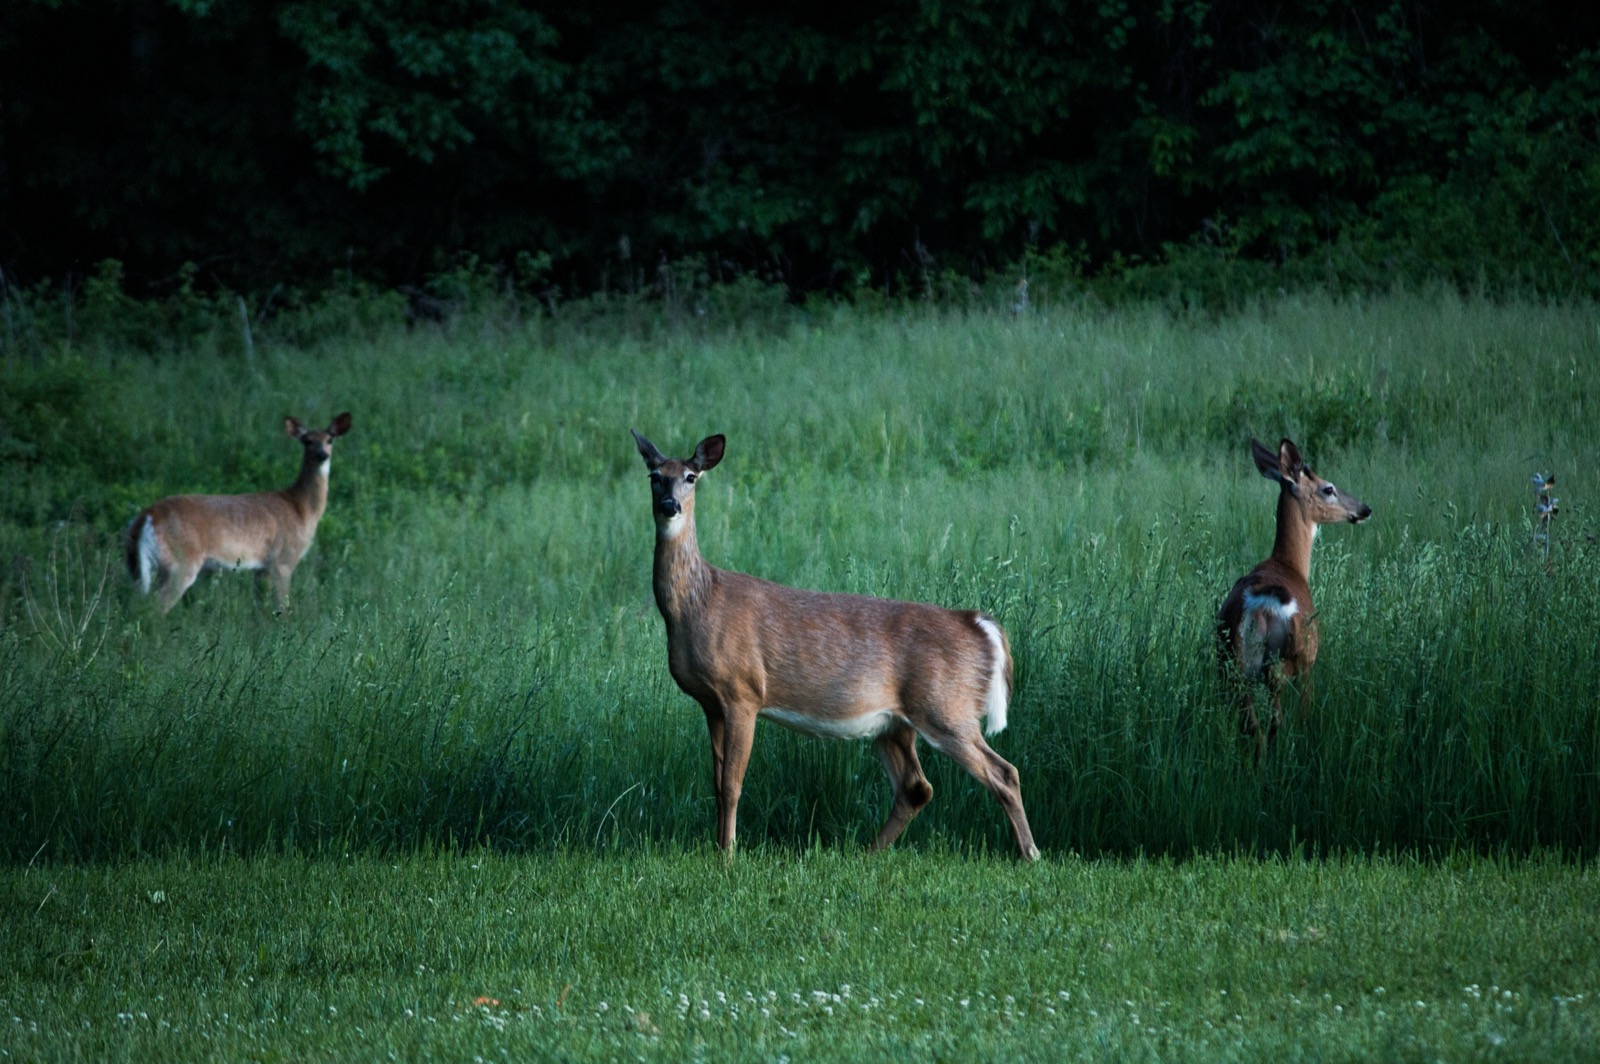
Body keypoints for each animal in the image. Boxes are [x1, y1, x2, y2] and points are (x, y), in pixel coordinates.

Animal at [126, 413, 352, 613]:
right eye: (307, 441)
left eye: (330, 439)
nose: (322, 455)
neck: (301, 507)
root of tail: (147, 515)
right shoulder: (283, 559)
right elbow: (282, 607)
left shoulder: (261, 567)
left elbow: (260, 609)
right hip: (181, 561)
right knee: (156, 606)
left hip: (140, 565)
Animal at [632, 430, 1039, 861]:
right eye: (654, 476)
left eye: (691, 476)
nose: (670, 505)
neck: (699, 602)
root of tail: (979, 624)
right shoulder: (711, 702)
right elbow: (716, 782)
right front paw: (718, 847)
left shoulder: (743, 691)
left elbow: (731, 784)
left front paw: (727, 855)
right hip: (895, 724)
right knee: (916, 787)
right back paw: (866, 851)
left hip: (947, 707)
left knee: (1004, 772)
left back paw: (1030, 854)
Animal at [1216, 437, 1371, 760]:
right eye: (1328, 488)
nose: (1365, 509)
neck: (1290, 565)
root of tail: (1258, 608)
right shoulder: (1310, 660)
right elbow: (1305, 713)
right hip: (1283, 662)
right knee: (1274, 725)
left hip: (1229, 665)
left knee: (1254, 731)